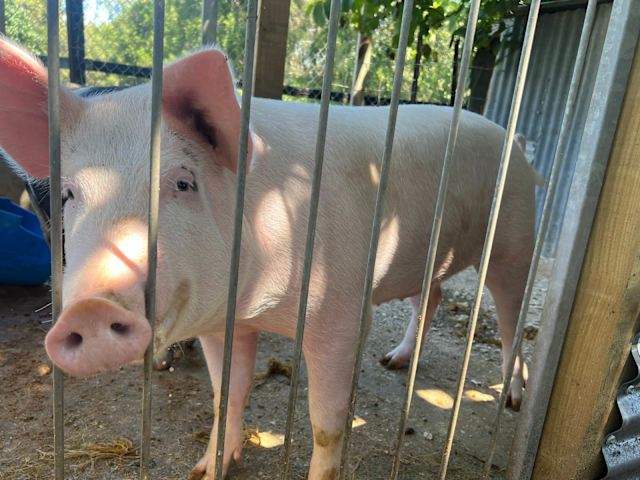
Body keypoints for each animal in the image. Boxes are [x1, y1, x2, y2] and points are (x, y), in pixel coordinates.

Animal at [0, 38, 536, 480]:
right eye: (68, 194)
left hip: (516, 236)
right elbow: (227, 395)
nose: (91, 309)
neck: (258, 301)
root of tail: (512, 139)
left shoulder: (341, 312)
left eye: (183, 183)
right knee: (433, 296)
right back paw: (394, 361)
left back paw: (514, 399)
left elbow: (326, 424)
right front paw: (205, 471)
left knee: (513, 317)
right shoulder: (221, 323)